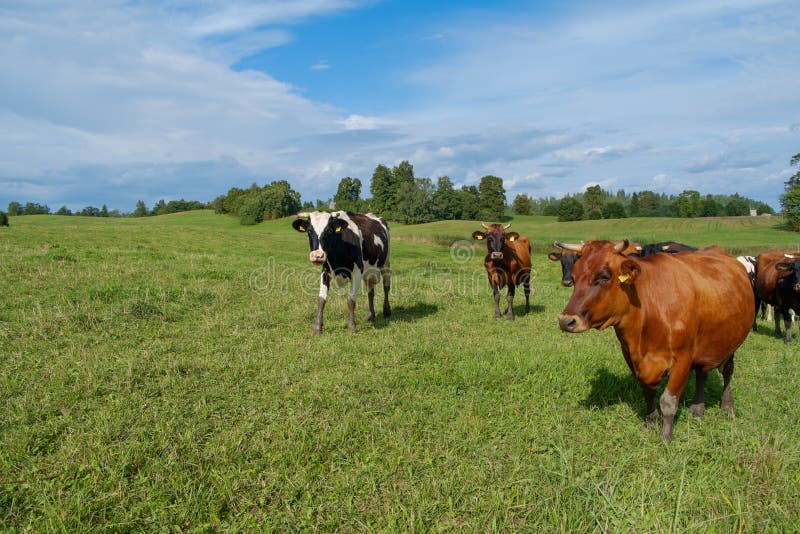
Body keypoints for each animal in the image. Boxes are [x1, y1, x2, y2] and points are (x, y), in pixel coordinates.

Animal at [556, 239, 753, 442]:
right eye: (574, 276)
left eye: (604, 276)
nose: (565, 321)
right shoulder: (631, 357)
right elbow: (648, 392)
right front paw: (651, 421)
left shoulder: (682, 360)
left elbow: (668, 401)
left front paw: (666, 437)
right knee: (702, 373)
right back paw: (697, 409)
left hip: (731, 343)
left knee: (727, 371)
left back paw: (727, 406)